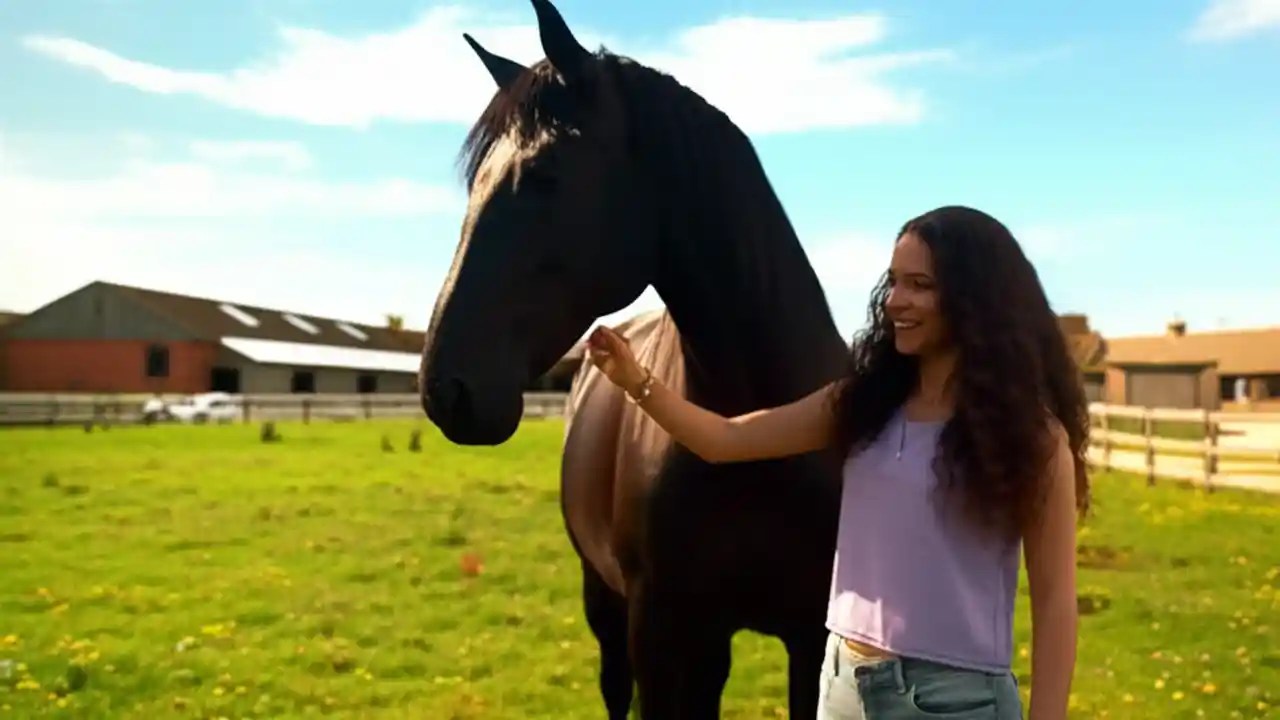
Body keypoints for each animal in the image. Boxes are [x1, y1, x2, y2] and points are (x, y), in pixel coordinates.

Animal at [418, 1, 852, 716]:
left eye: (545, 176)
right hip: (607, 604)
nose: (444, 389)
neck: (753, 428)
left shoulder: (810, 639)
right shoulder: (662, 638)